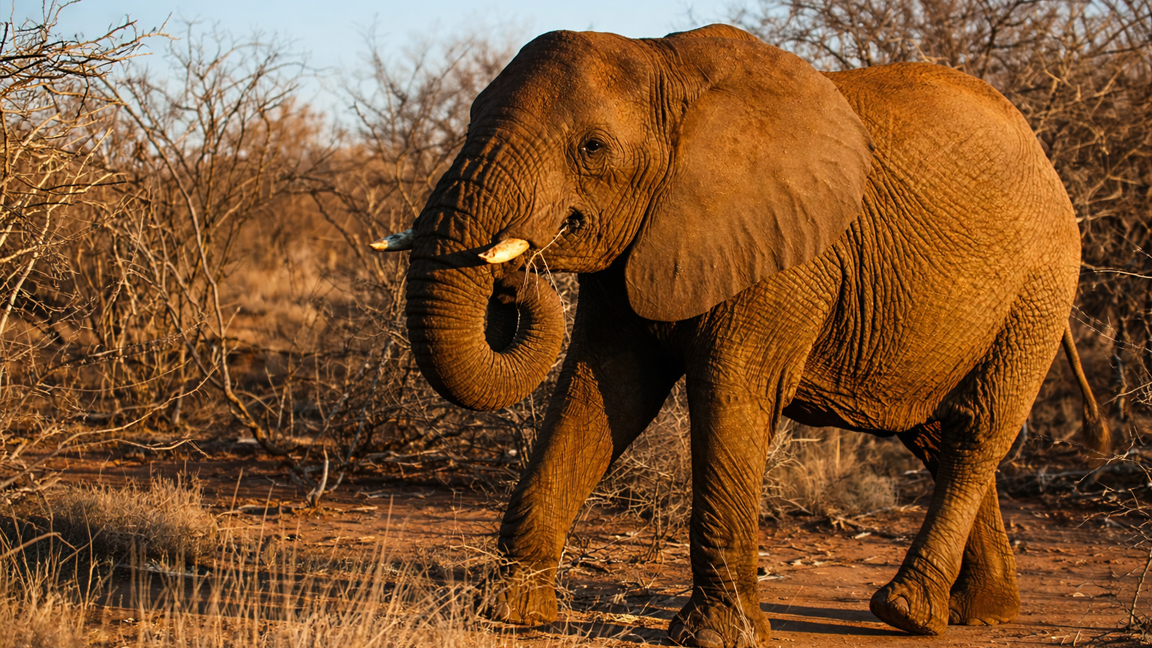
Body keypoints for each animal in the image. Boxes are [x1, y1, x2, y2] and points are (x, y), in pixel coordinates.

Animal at [373, 23, 1110, 647]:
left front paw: (716, 638)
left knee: (974, 432)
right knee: (931, 433)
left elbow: (729, 390)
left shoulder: (790, 251)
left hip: (1040, 287)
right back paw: (979, 611)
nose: (511, 277)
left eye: (592, 148)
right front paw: (509, 615)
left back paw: (906, 610)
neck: (668, 69)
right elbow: (601, 391)